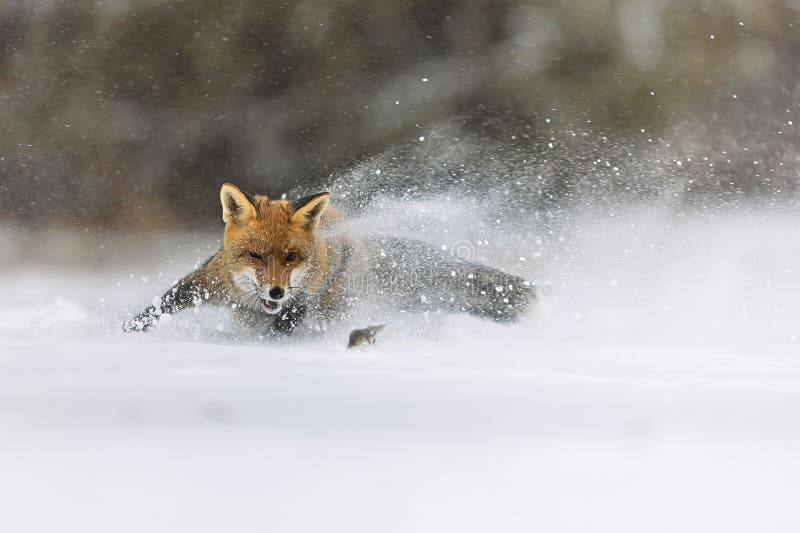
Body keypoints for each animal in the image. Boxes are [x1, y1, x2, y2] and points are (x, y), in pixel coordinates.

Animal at [123, 183, 535, 335]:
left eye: (291, 257)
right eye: (254, 255)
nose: (276, 293)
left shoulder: (313, 292)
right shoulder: (210, 280)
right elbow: (162, 304)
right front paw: (122, 333)